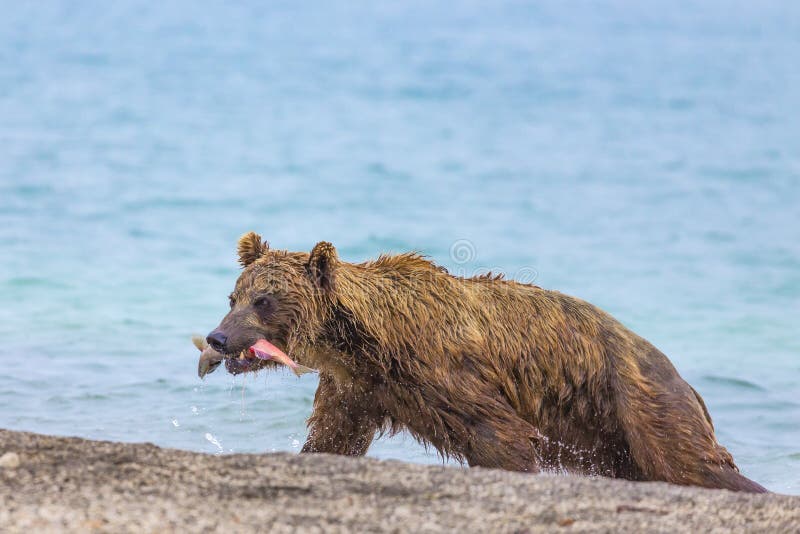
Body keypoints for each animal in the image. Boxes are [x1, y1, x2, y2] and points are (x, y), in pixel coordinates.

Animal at [205, 232, 766, 493]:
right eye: (234, 296)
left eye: (264, 301)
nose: (218, 338)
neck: (366, 341)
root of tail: (679, 374)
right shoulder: (357, 389)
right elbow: (331, 441)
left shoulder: (443, 371)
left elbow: (499, 434)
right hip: (606, 436)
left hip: (639, 403)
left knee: (688, 462)